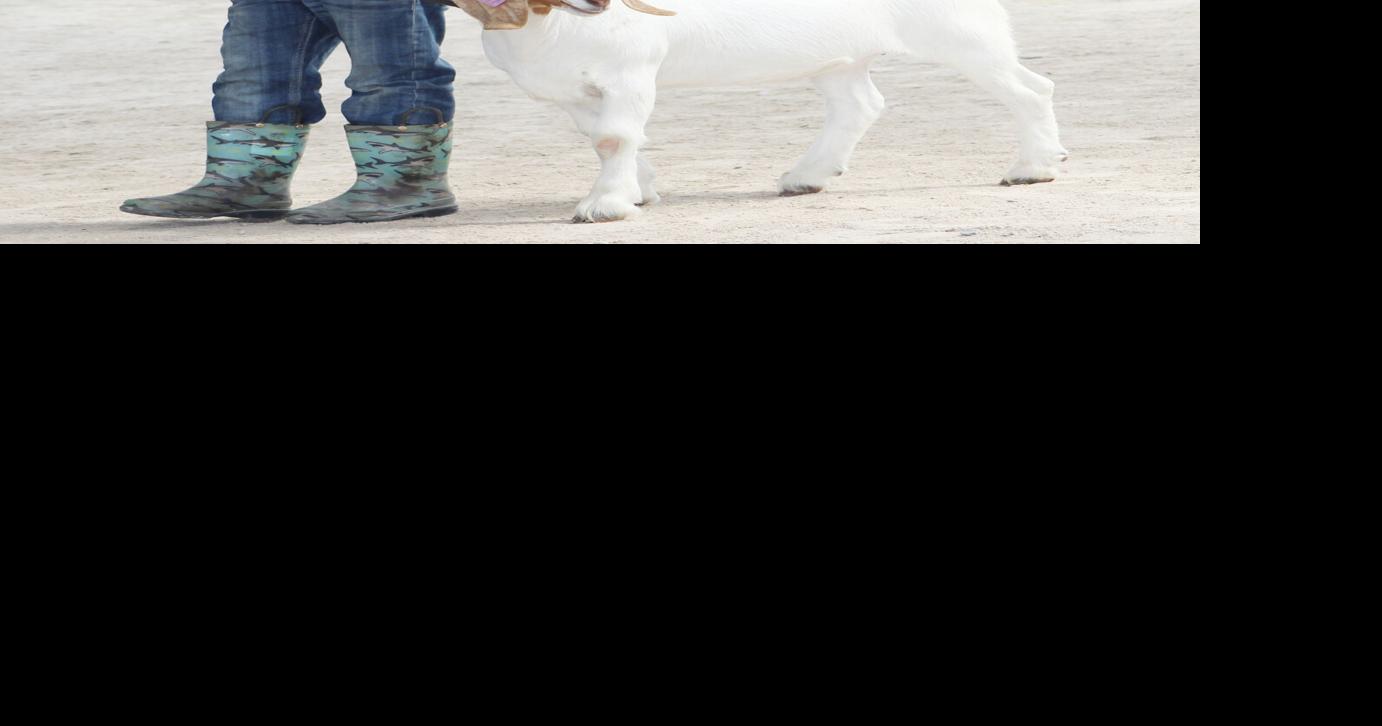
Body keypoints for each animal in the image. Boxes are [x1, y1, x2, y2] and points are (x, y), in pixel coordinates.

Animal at [448, 0, 1068, 223]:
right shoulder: (578, 94)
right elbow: (611, 140)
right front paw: (639, 191)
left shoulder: (630, 73)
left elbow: (615, 139)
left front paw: (605, 206)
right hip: (838, 58)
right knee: (858, 104)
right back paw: (806, 176)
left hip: (961, 32)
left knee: (1029, 87)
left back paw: (1034, 167)